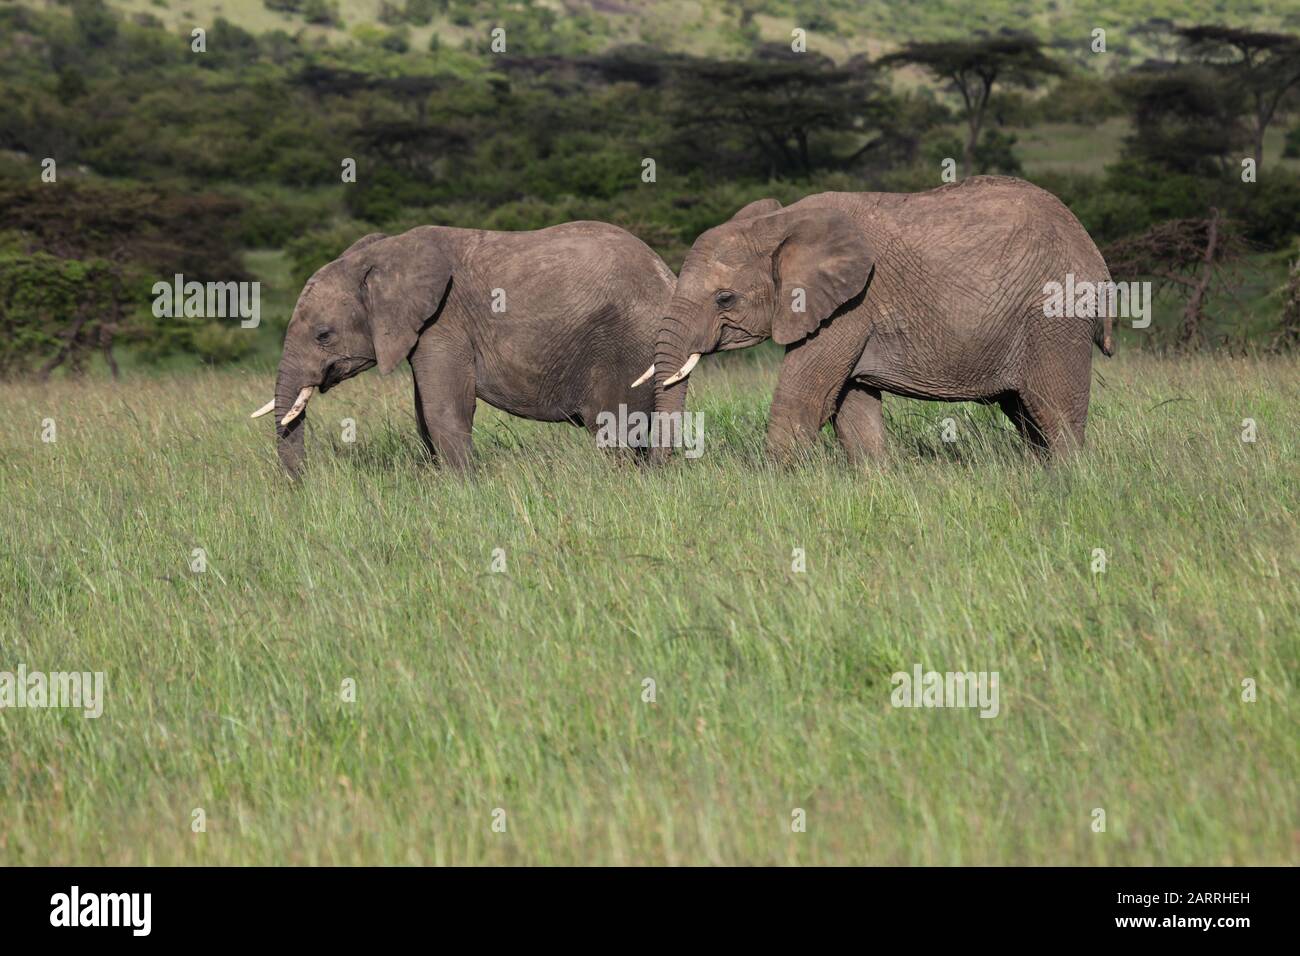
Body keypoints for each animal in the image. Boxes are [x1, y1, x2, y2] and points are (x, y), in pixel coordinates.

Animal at [252, 222, 676, 476]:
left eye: (323, 335)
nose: (301, 488)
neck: (385, 255)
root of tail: (666, 273)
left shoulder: (443, 323)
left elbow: (444, 411)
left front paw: (463, 490)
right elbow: (424, 414)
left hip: (626, 343)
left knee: (616, 428)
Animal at [641, 176, 1115, 463]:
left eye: (725, 298)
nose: (668, 469)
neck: (780, 222)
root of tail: (1094, 252)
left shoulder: (851, 305)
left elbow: (804, 400)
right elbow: (852, 409)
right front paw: (874, 483)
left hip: (1055, 314)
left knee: (1053, 412)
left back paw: (1066, 481)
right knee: (1025, 414)